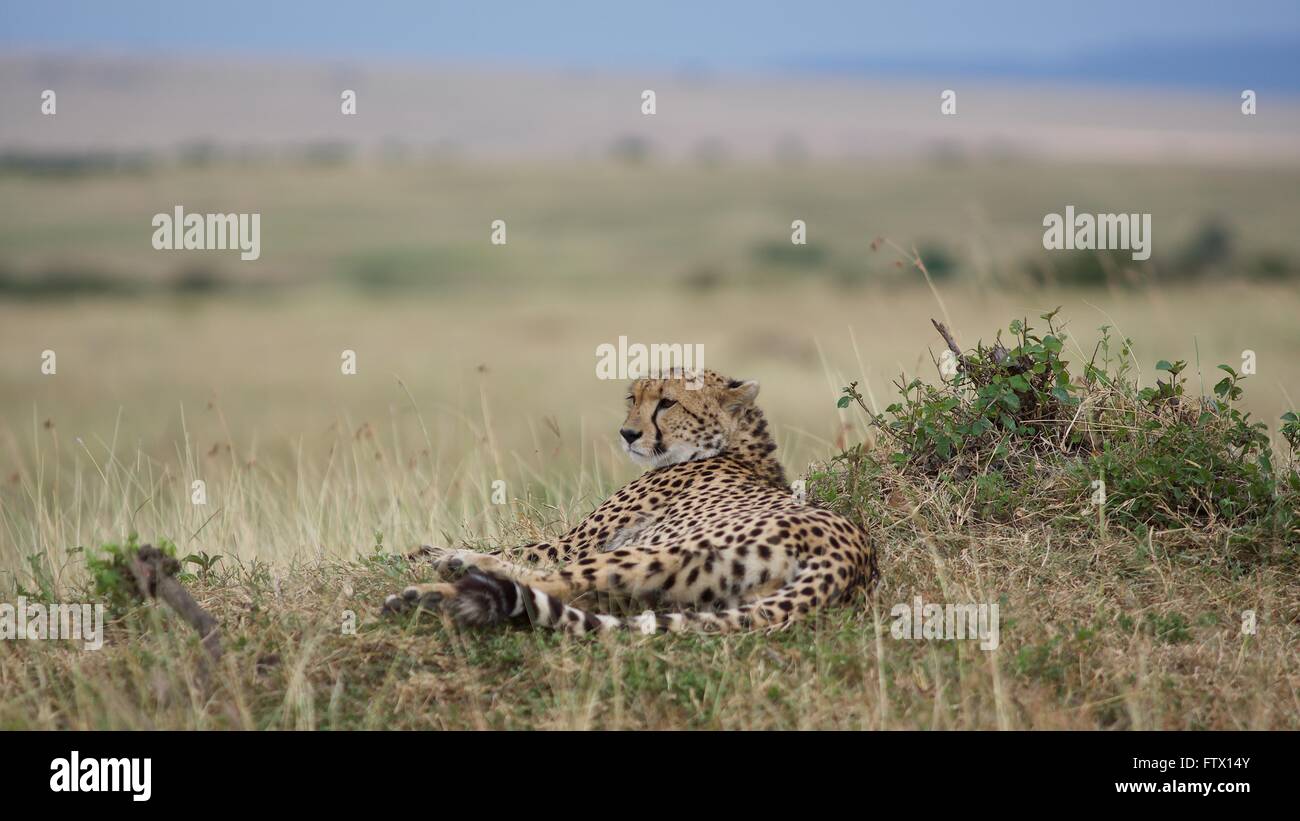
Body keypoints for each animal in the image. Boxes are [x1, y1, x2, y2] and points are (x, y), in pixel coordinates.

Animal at [382, 369, 879, 634]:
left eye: (668, 403)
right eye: (633, 397)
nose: (627, 433)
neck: (733, 446)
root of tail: (854, 555)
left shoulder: (574, 542)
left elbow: (521, 549)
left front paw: (420, 553)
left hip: (654, 551)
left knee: (551, 581)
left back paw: (433, 587)